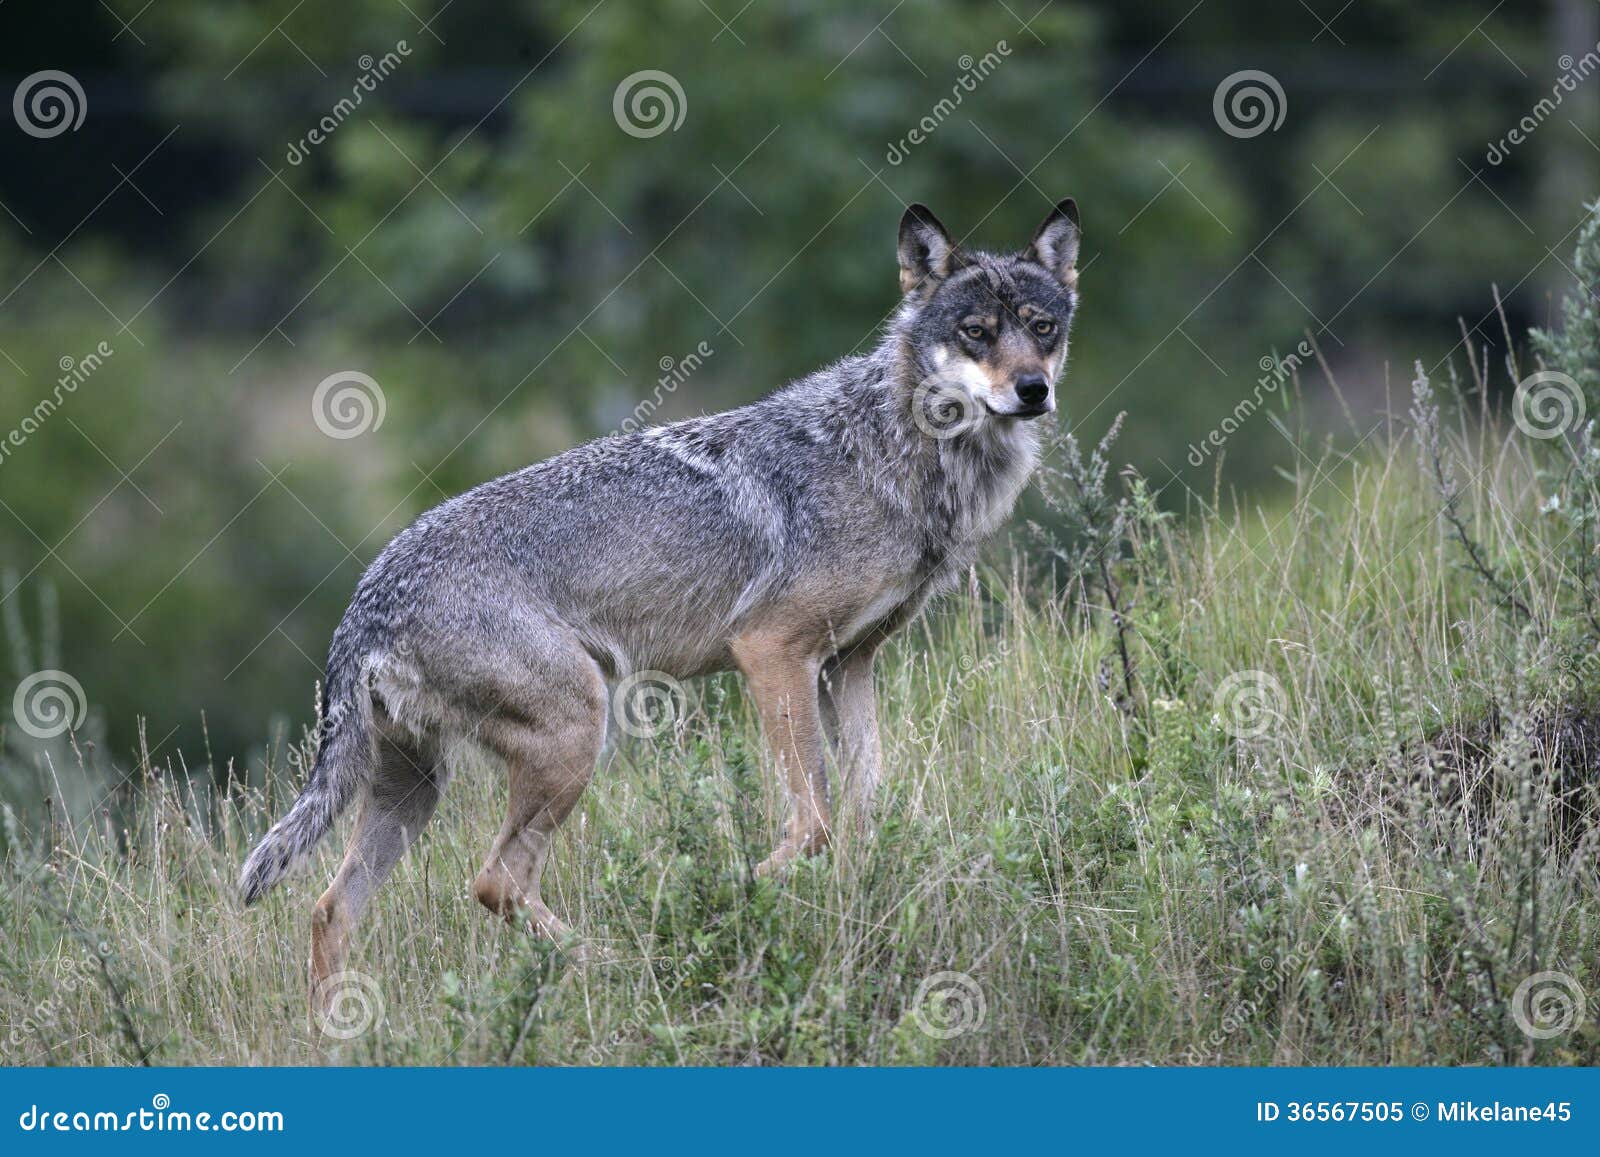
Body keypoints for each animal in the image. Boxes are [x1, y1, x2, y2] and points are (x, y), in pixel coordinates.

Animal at [239, 199, 1082, 1020]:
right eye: (976, 333)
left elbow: (862, 812)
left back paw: (338, 1034)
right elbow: (812, 821)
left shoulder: (850, 664)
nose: (1033, 389)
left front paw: (850, 902)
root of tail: (364, 601)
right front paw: (741, 892)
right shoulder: (772, 650)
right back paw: (623, 959)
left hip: (417, 790)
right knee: (493, 881)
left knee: (332, 906)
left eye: (1042, 328)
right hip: (577, 730)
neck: (901, 452)